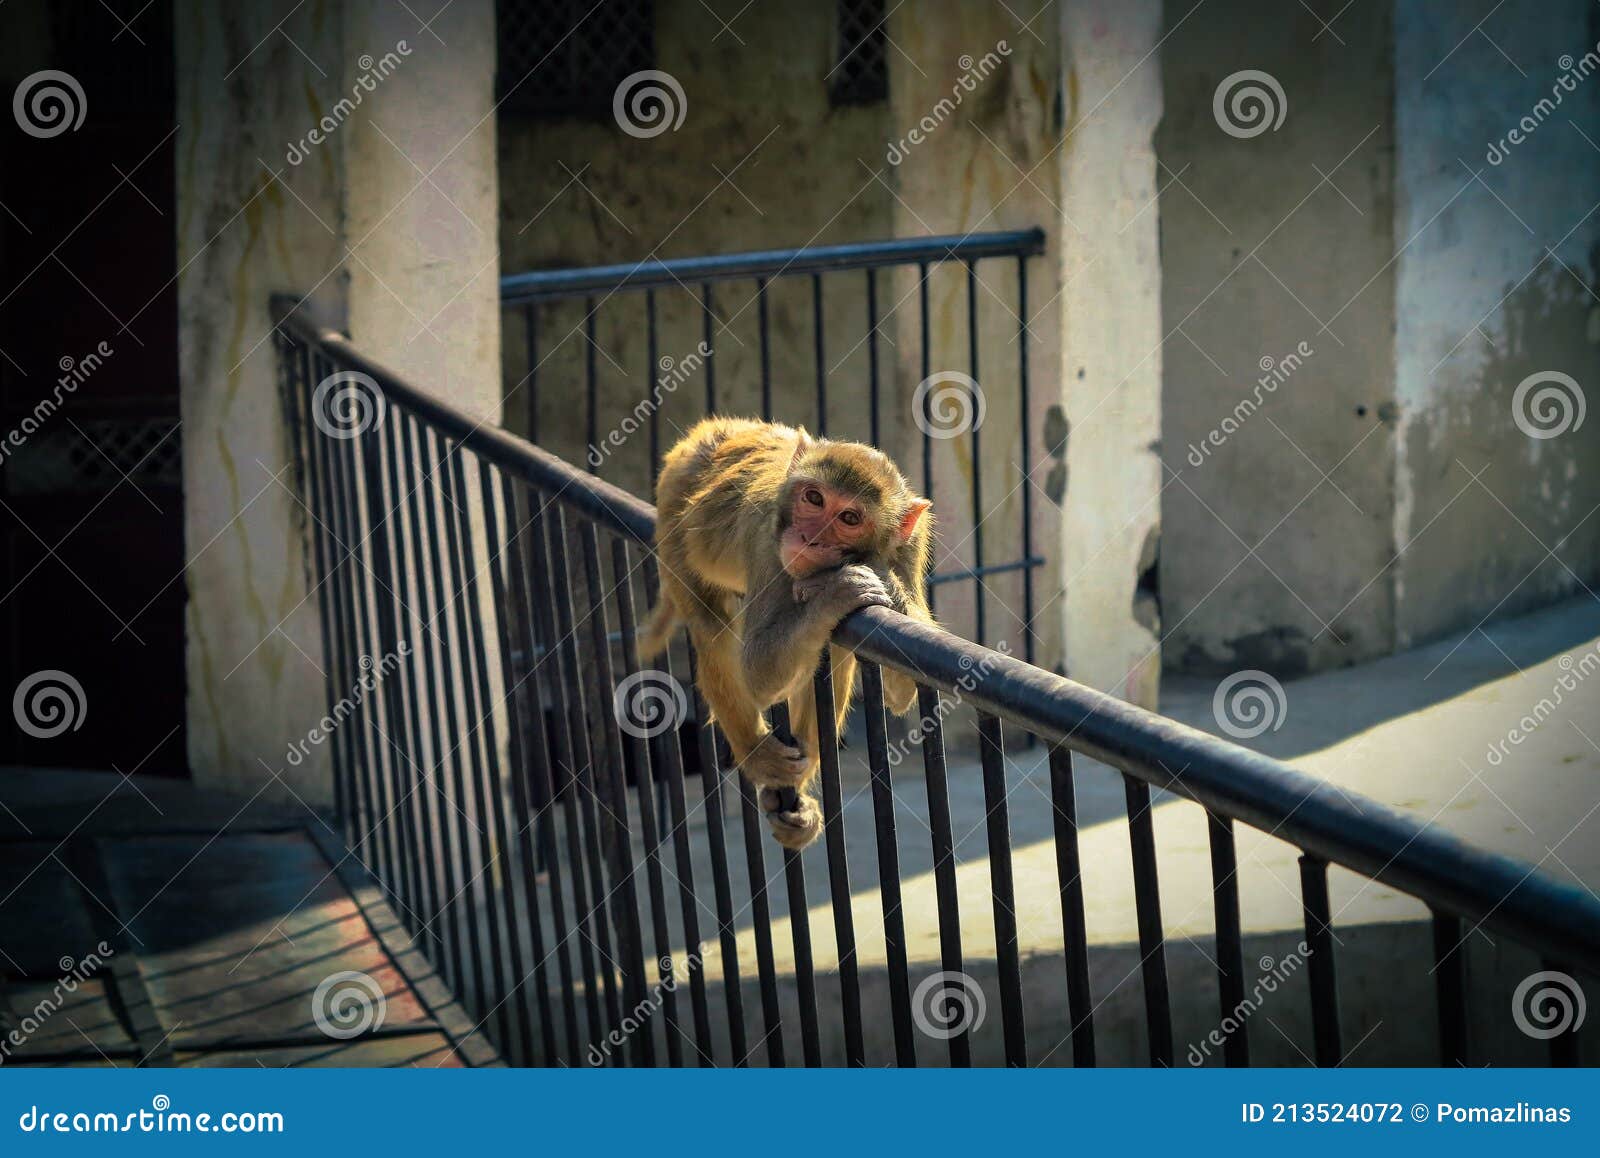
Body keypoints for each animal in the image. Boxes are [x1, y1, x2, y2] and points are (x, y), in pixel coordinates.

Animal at [640, 417, 934, 850]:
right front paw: (834, 592)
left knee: (832, 653)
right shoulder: (765, 540)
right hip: (675, 512)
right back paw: (757, 754)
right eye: (813, 498)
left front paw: (873, 571)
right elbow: (759, 674)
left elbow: (905, 688)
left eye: (849, 519)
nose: (810, 539)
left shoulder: (910, 545)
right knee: (711, 625)